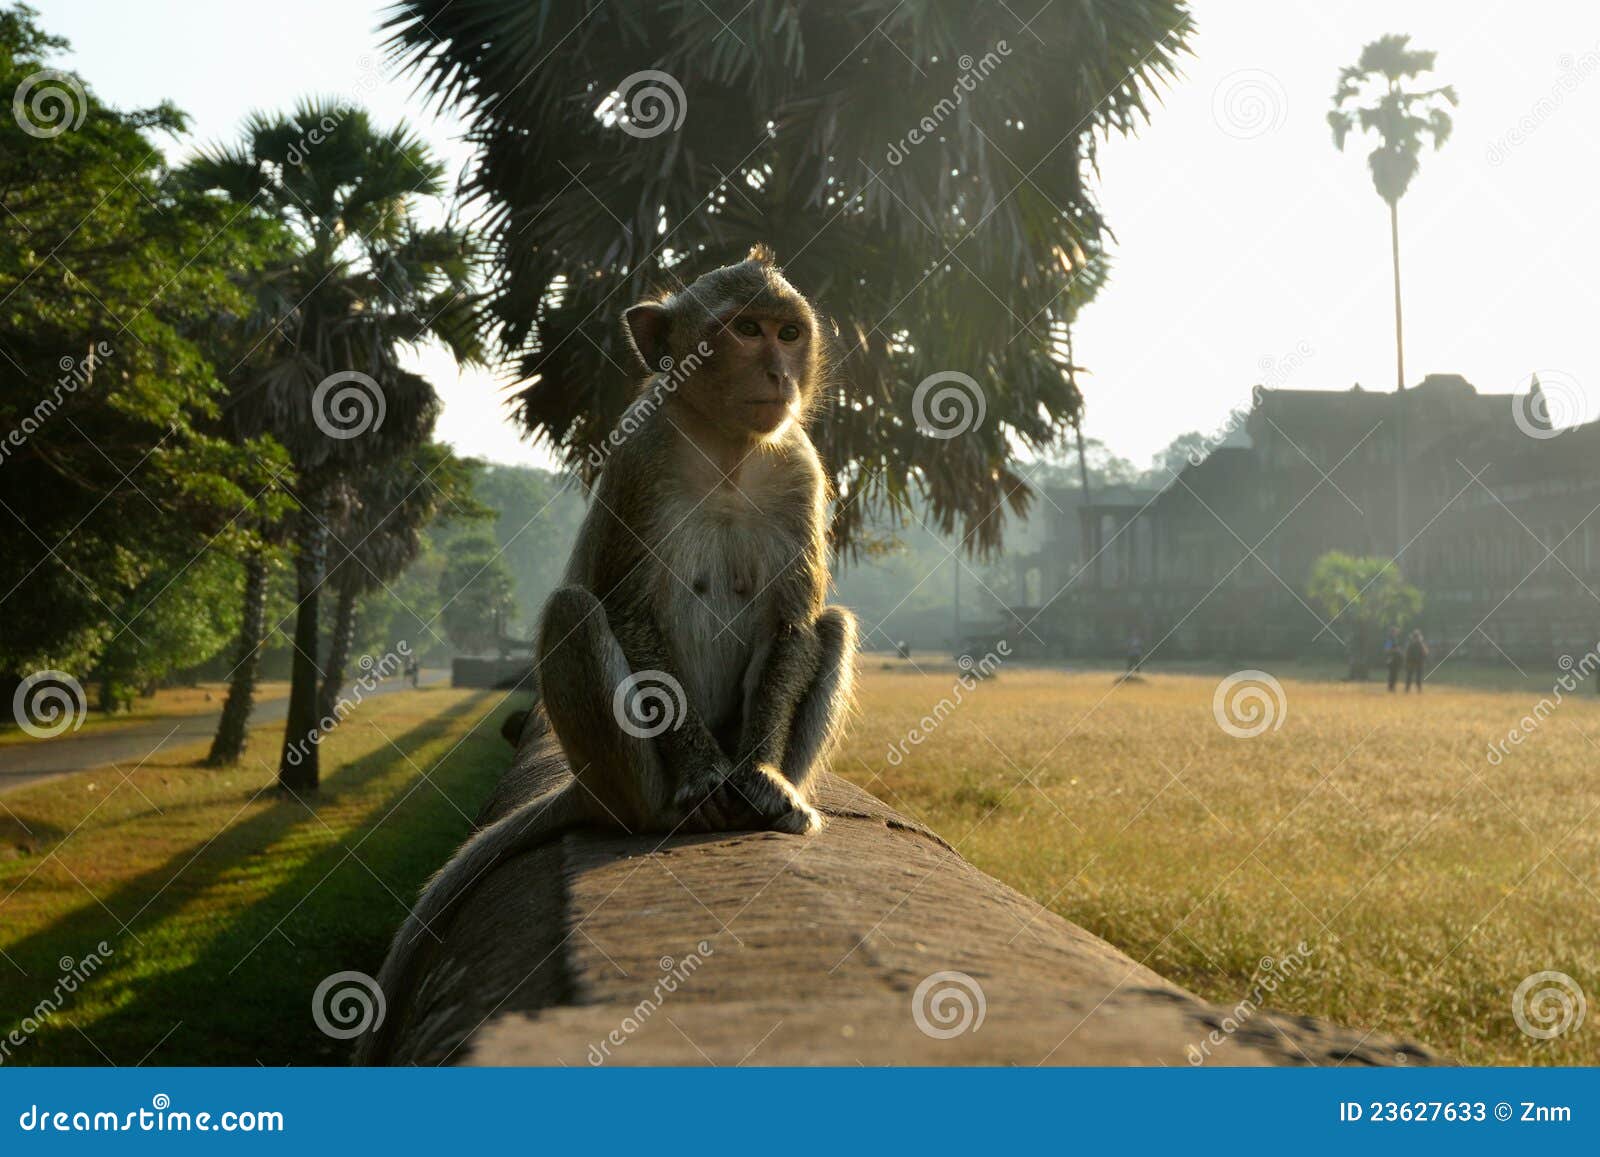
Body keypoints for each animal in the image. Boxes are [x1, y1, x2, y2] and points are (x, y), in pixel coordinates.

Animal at [354, 246, 857, 1063]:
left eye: (788, 332)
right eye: (746, 330)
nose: (779, 372)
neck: (727, 450)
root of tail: (585, 790)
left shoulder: (800, 469)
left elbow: (793, 625)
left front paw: (759, 774)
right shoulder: (637, 456)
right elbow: (624, 608)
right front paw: (704, 774)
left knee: (834, 625)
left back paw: (780, 798)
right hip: (619, 773)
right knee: (576, 612)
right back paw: (671, 809)